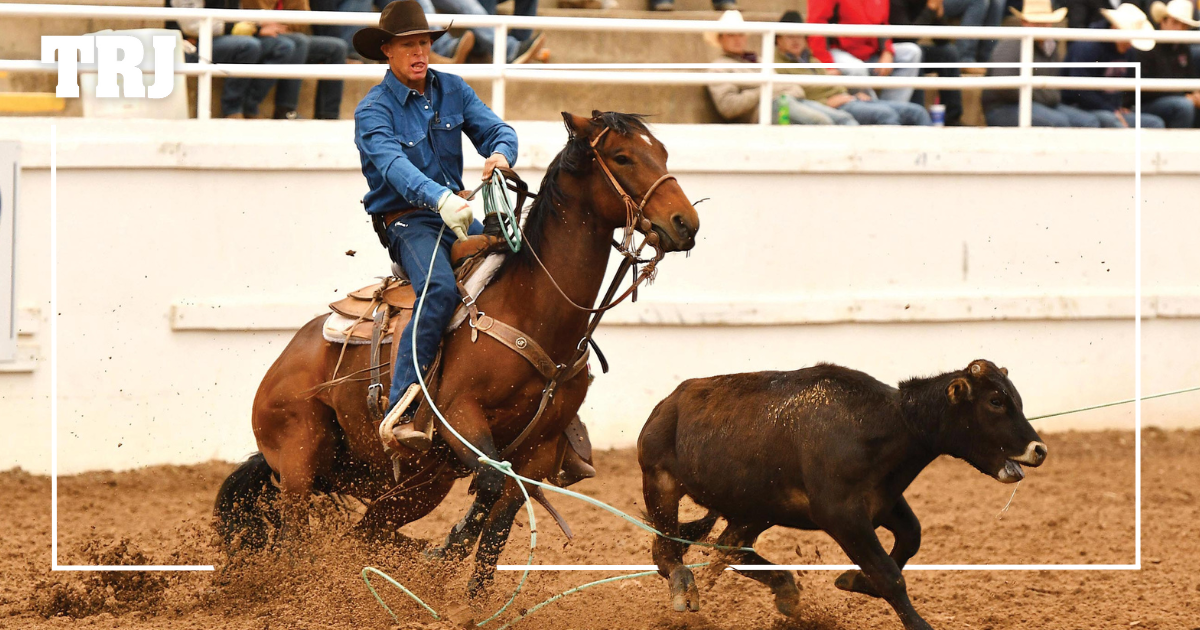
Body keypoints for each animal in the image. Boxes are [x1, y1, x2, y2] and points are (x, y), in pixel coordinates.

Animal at [214, 110, 701, 593]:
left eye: (661, 152)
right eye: (622, 157)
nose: (686, 223)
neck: (532, 306)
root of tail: (285, 362)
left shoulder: (539, 451)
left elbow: (498, 527)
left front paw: (468, 594)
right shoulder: (459, 418)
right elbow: (489, 481)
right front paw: (448, 548)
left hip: (412, 483)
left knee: (365, 534)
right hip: (299, 461)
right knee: (298, 545)